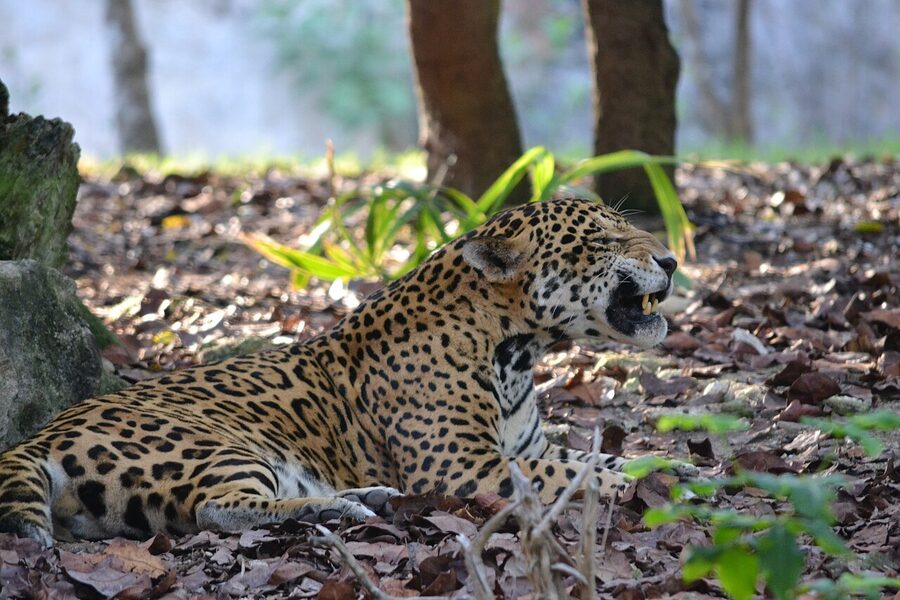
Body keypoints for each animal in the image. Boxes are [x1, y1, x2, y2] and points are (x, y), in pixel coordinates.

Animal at [0, 197, 678, 546]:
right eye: (601, 240)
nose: (672, 260)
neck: (515, 352)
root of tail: (35, 439)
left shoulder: (519, 447)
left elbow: (590, 455)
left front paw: (666, 465)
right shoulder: (461, 468)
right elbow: (579, 472)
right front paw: (666, 480)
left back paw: (364, 498)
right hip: (213, 445)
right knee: (218, 509)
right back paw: (344, 511)